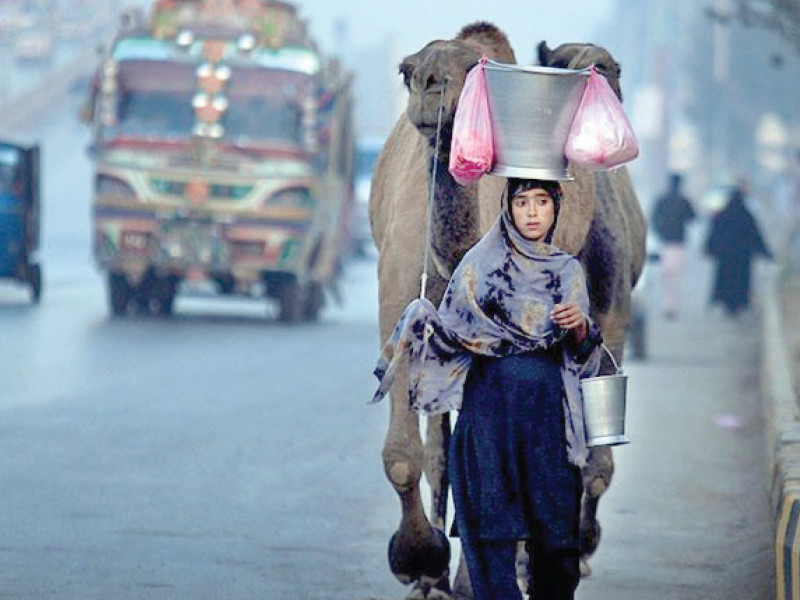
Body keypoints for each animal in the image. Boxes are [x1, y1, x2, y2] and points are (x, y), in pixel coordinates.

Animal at [372, 21, 648, 596]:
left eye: (473, 69)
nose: (431, 85)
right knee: (445, 450)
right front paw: (420, 561)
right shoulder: (402, 299)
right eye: (407, 70)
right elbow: (412, 457)